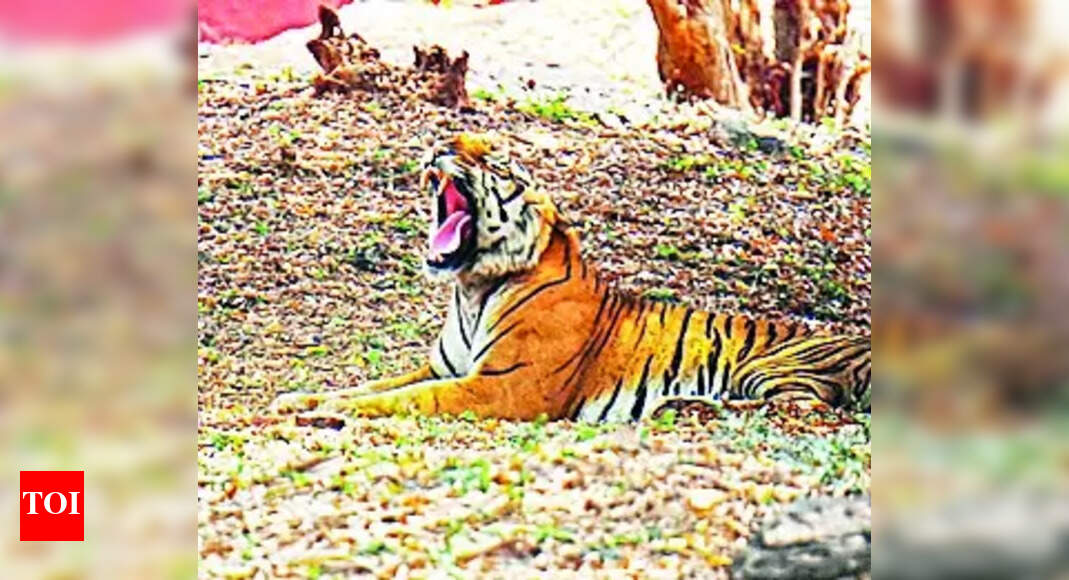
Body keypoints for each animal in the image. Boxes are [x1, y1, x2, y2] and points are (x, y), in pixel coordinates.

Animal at [271, 133, 871, 421]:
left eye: (492, 160)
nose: (440, 145)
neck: (471, 289)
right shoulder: (442, 367)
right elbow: (374, 384)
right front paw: (301, 398)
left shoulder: (504, 385)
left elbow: (410, 400)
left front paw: (329, 412)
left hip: (775, 366)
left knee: (803, 406)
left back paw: (684, 406)